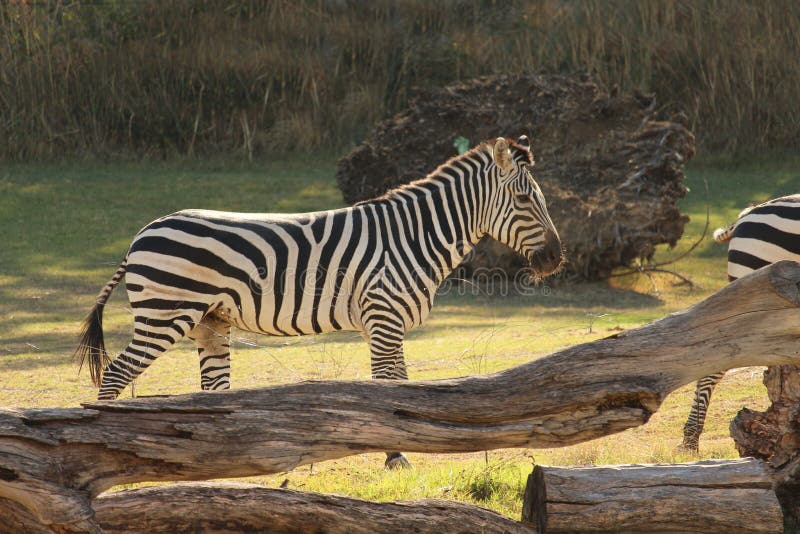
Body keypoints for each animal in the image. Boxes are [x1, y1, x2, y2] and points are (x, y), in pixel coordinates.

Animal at [74, 135, 565, 468]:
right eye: (524, 198)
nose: (556, 259)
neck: (412, 237)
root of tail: (143, 232)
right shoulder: (383, 317)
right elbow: (387, 387)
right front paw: (395, 458)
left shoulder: (392, 323)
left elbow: (403, 386)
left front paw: (404, 451)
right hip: (165, 314)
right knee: (117, 373)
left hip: (209, 321)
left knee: (211, 390)